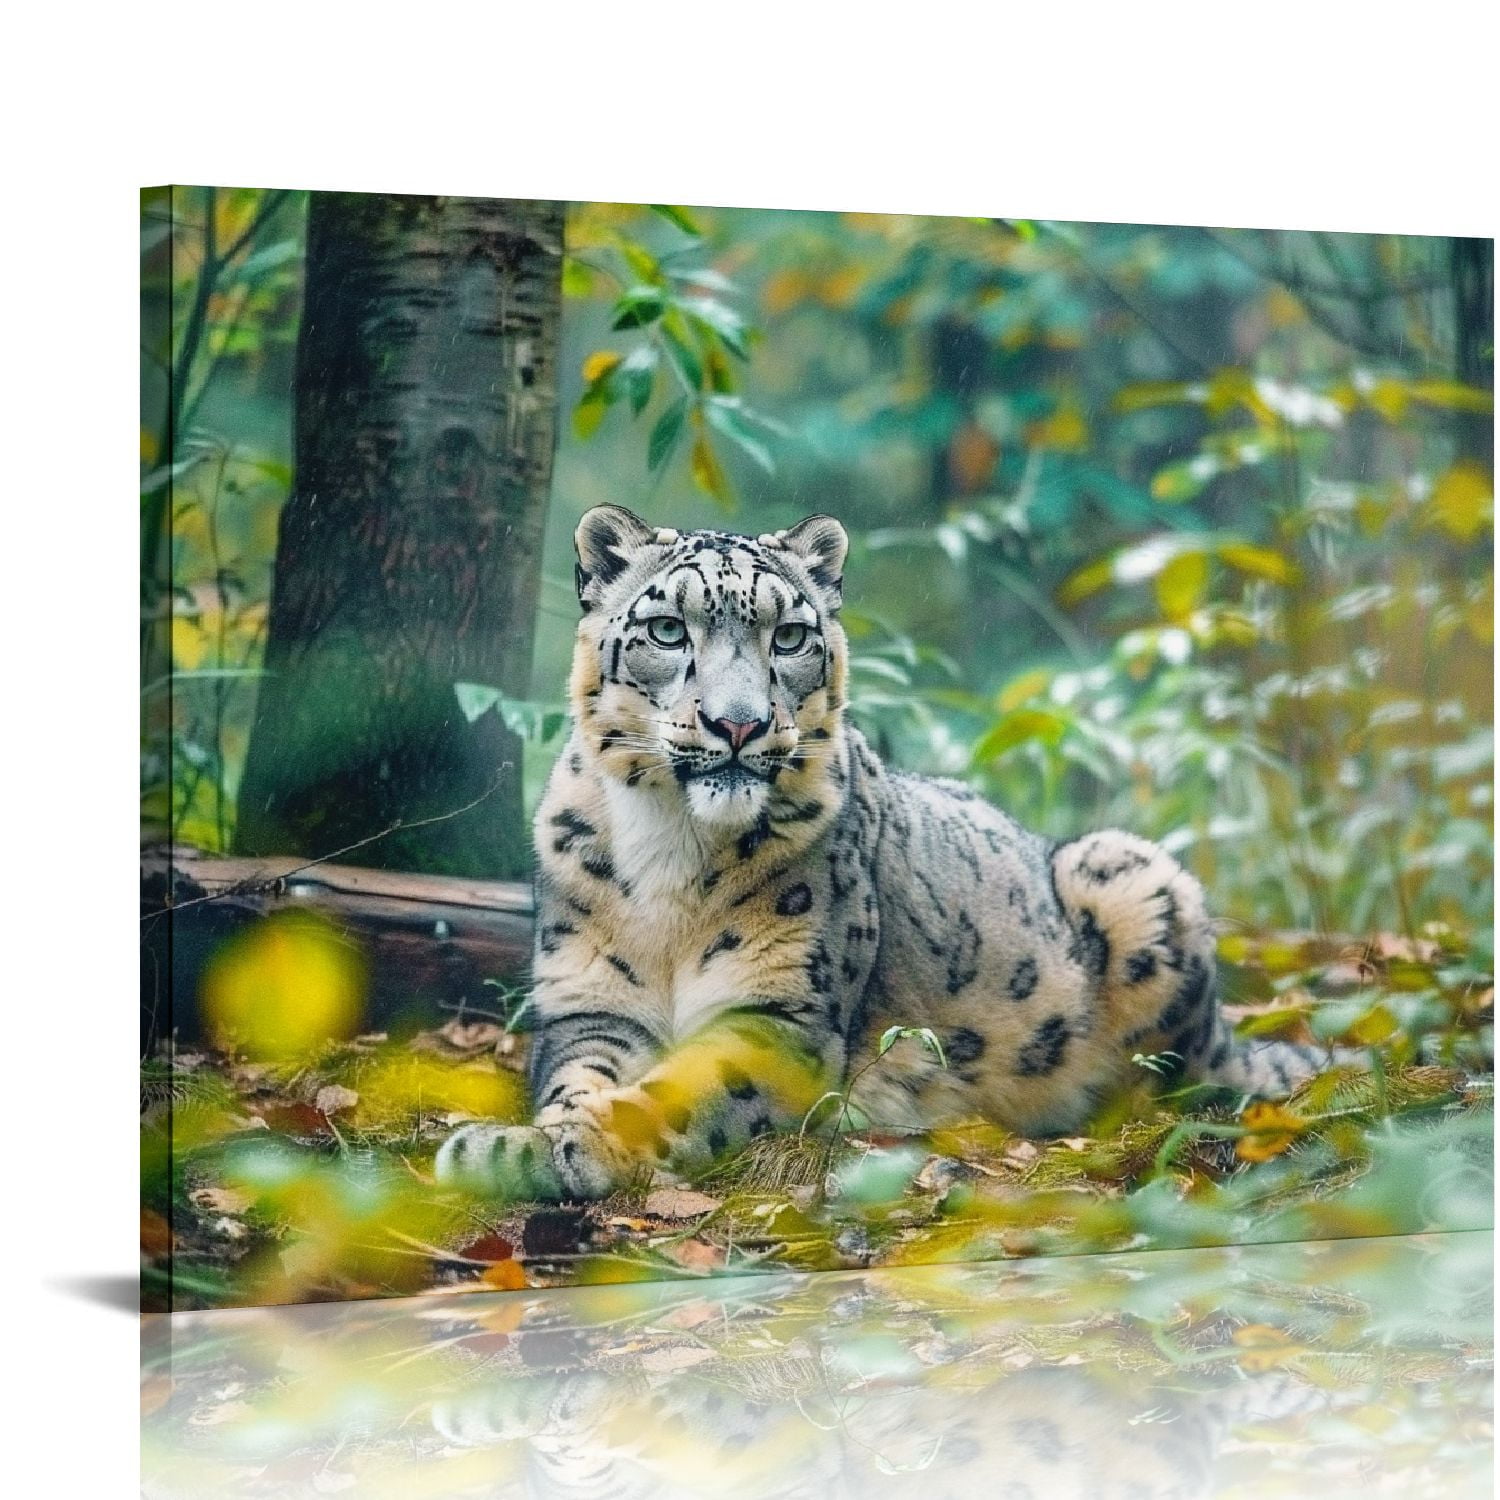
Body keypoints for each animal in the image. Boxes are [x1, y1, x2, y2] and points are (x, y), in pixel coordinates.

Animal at [436, 505, 1333, 1200]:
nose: (738, 724)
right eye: (665, 629)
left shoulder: (779, 1018)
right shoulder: (590, 1000)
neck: (670, 851)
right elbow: (578, 1076)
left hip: (1130, 875)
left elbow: (678, 1091)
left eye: (790, 636)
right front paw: (525, 1141)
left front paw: (569, 1146)